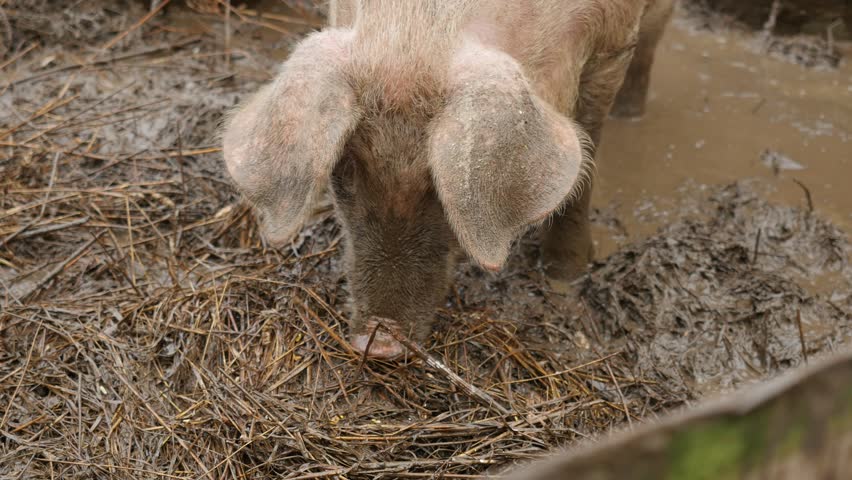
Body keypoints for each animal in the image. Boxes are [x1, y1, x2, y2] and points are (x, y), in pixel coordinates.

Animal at [222, 0, 674, 359]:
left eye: (439, 190)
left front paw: (565, 279)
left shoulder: (613, 43)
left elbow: (587, 154)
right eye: (344, 173)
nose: (379, 342)